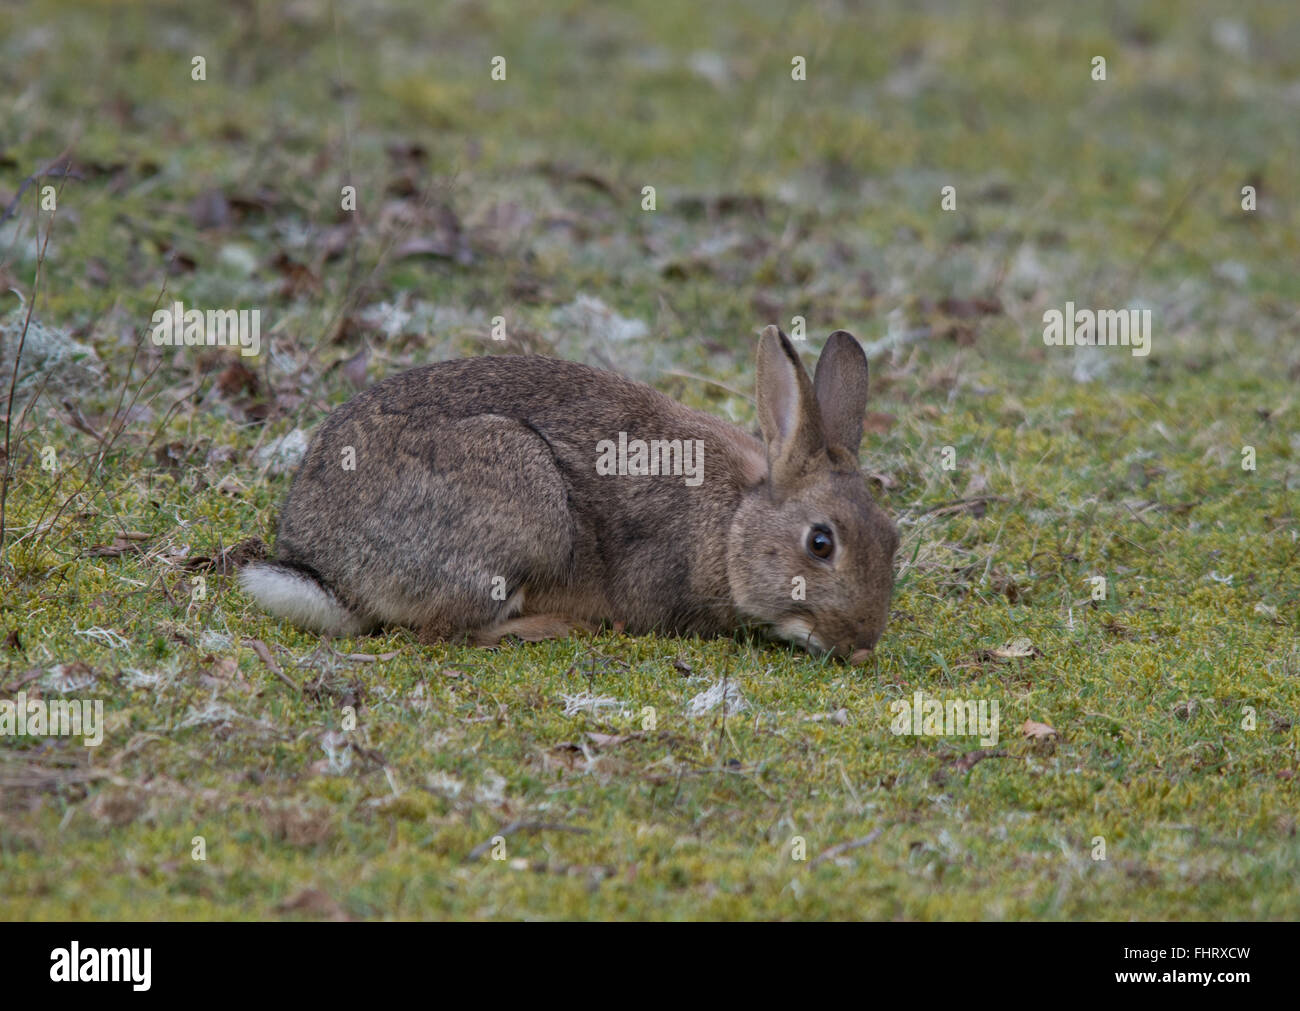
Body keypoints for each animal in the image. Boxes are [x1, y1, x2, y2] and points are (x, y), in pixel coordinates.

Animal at [239, 326, 899, 657]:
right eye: (820, 543)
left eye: (893, 539)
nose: (863, 645)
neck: (736, 519)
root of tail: (326, 569)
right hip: (522, 502)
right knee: (445, 630)